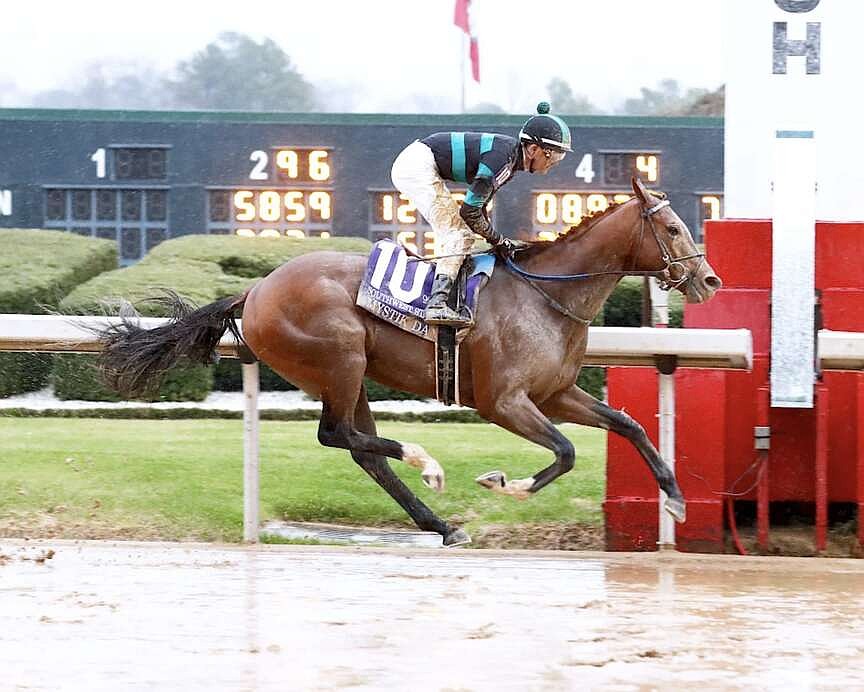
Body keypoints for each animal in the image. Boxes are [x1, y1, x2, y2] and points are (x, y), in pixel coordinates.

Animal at [95, 177, 721, 547]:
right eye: (671, 228)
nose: (709, 280)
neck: (546, 296)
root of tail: (252, 292)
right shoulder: (504, 402)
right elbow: (566, 452)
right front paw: (505, 483)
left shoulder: (556, 393)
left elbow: (630, 425)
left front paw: (676, 500)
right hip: (340, 359)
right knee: (336, 435)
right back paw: (428, 464)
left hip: (351, 375)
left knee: (360, 449)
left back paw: (440, 524)